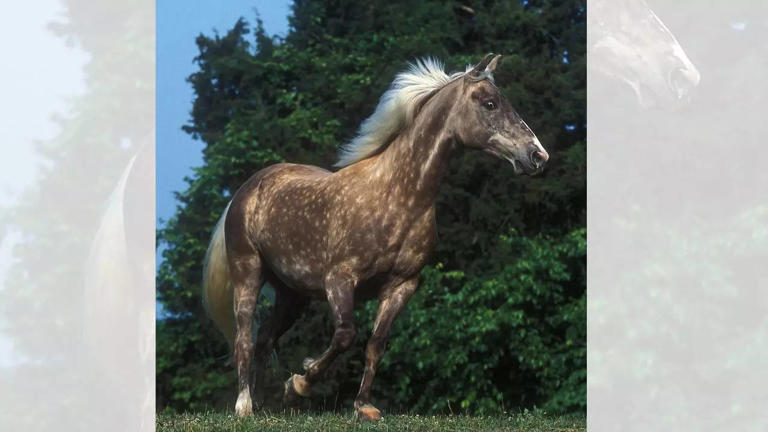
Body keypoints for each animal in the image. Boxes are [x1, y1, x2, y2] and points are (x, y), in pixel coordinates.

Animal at [201, 53, 549, 421]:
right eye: (490, 103)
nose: (538, 156)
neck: (399, 196)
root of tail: (248, 188)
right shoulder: (339, 279)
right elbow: (345, 335)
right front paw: (301, 382)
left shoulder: (401, 286)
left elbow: (376, 344)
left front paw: (362, 405)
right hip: (248, 273)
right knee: (244, 338)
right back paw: (244, 405)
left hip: (292, 294)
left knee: (266, 338)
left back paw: (265, 404)